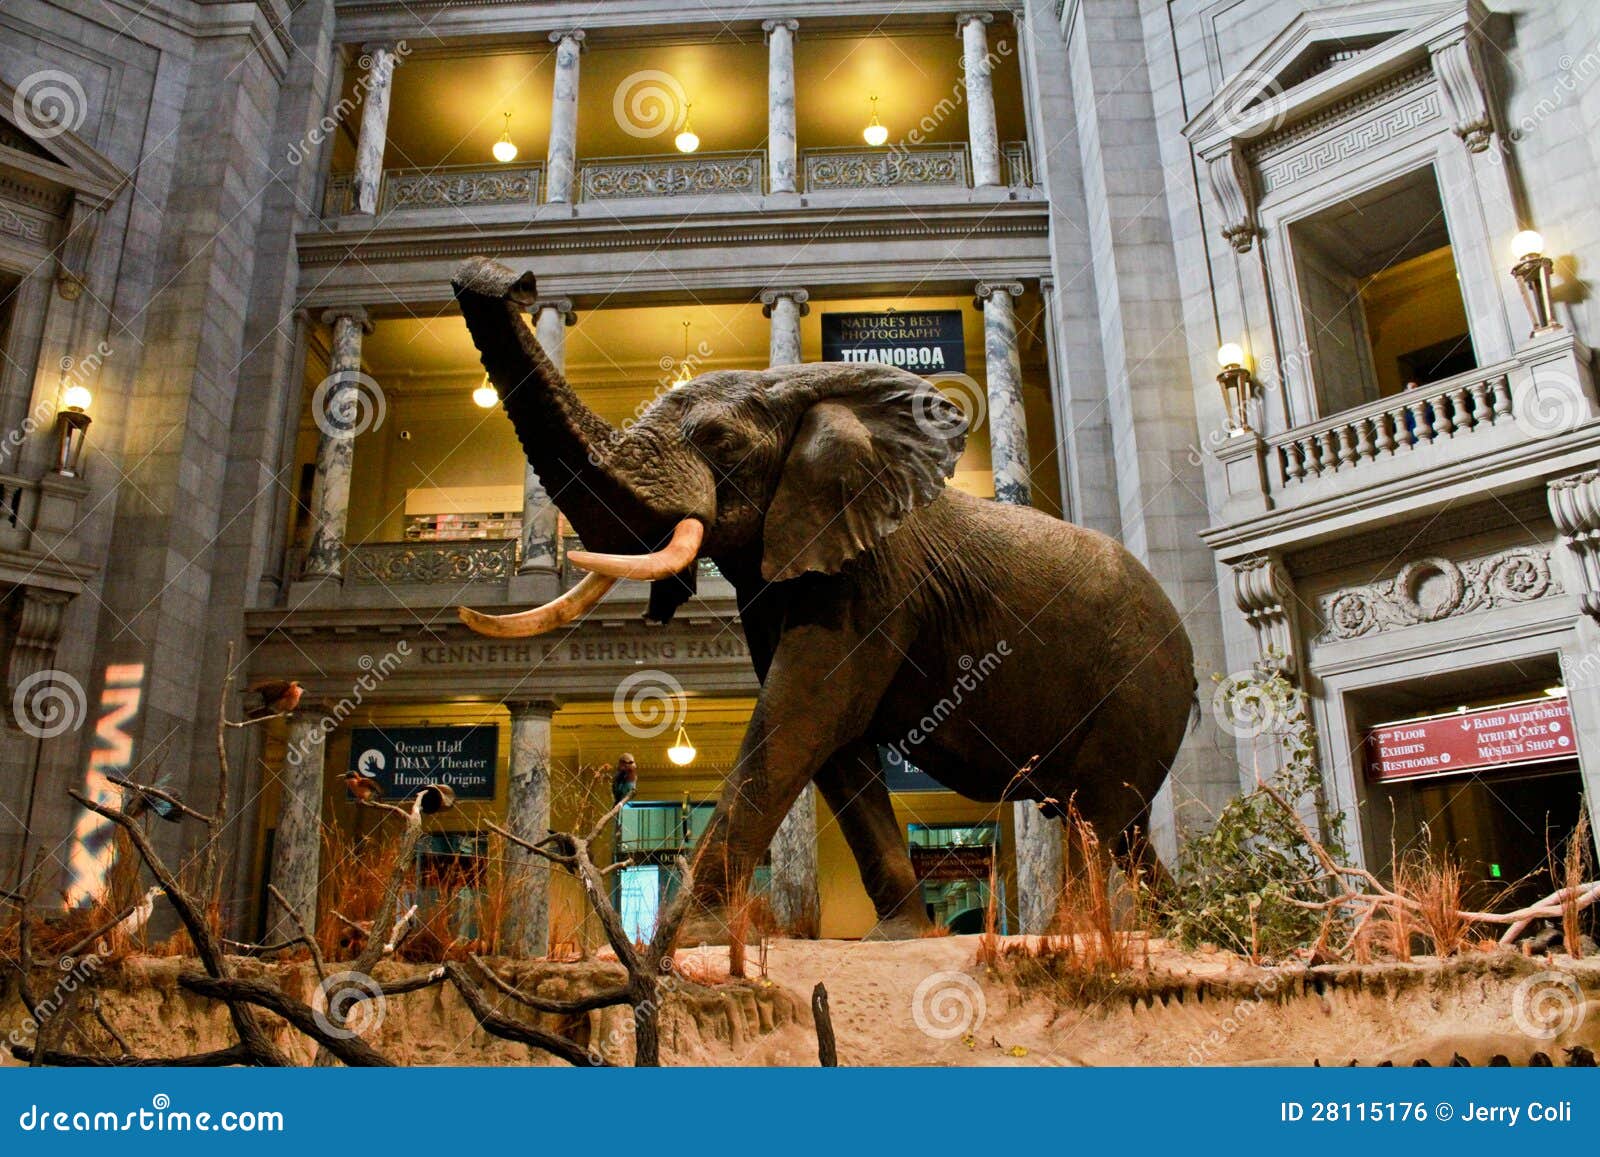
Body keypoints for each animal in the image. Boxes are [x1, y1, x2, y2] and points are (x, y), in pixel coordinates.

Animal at [453, 256, 1198, 939]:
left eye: (719, 441)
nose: (517, 278)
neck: (804, 391)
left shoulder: (875, 575)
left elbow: (803, 715)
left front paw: (690, 940)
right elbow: (833, 746)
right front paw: (901, 939)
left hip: (1139, 683)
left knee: (1096, 819)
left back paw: (1083, 938)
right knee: (1118, 826)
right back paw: (1176, 927)